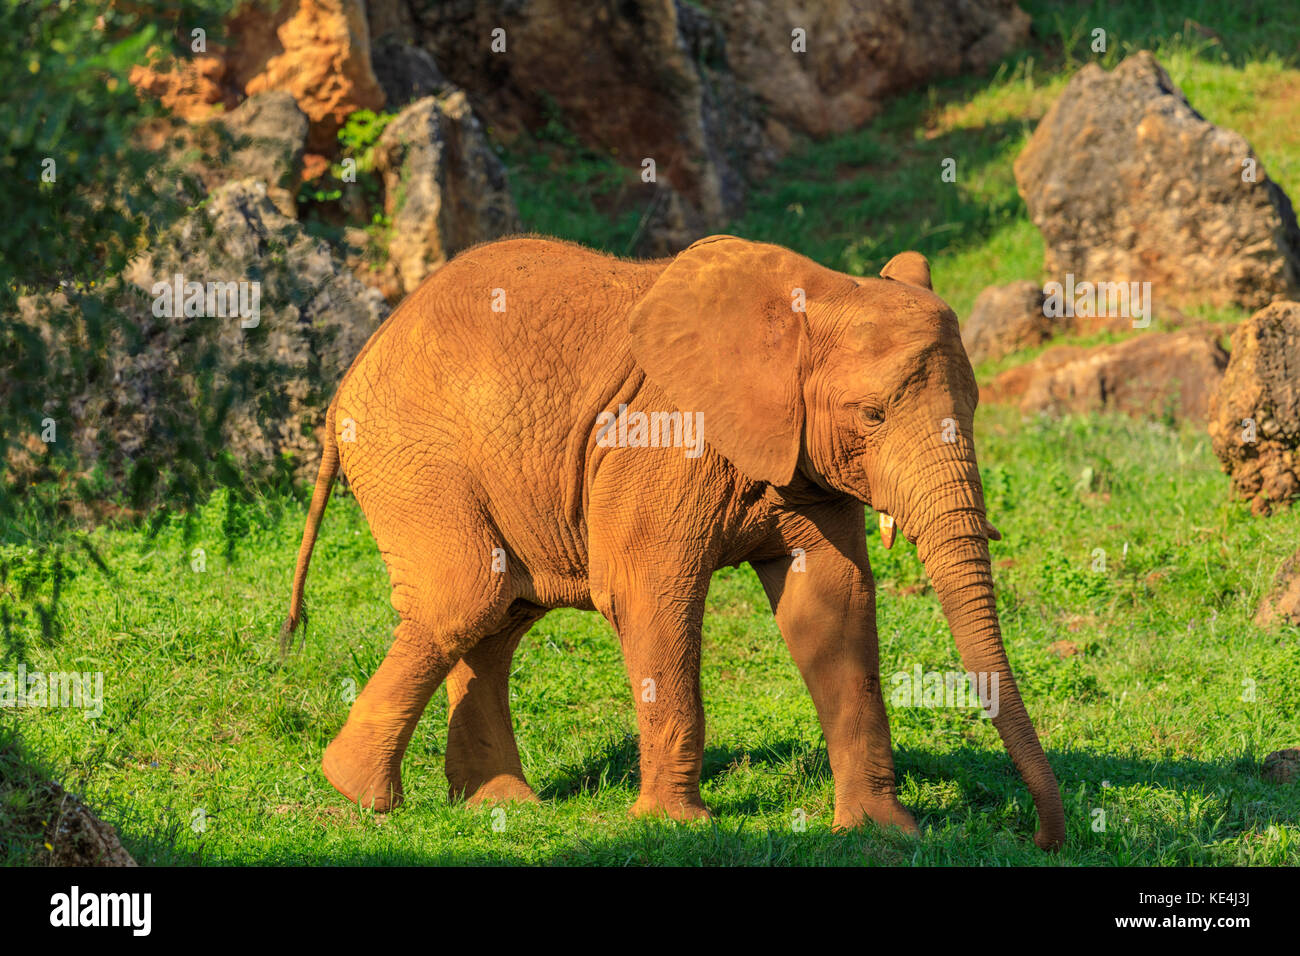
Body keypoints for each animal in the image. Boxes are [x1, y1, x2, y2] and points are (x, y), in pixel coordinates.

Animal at [281, 234, 1066, 850]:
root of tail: (355, 366)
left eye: (975, 407)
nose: (1039, 838)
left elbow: (832, 604)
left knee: (497, 619)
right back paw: (357, 794)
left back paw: (498, 805)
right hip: (413, 455)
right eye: (871, 416)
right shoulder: (660, 443)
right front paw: (678, 827)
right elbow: (651, 596)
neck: (807, 299)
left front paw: (882, 831)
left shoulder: (800, 456)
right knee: (466, 598)